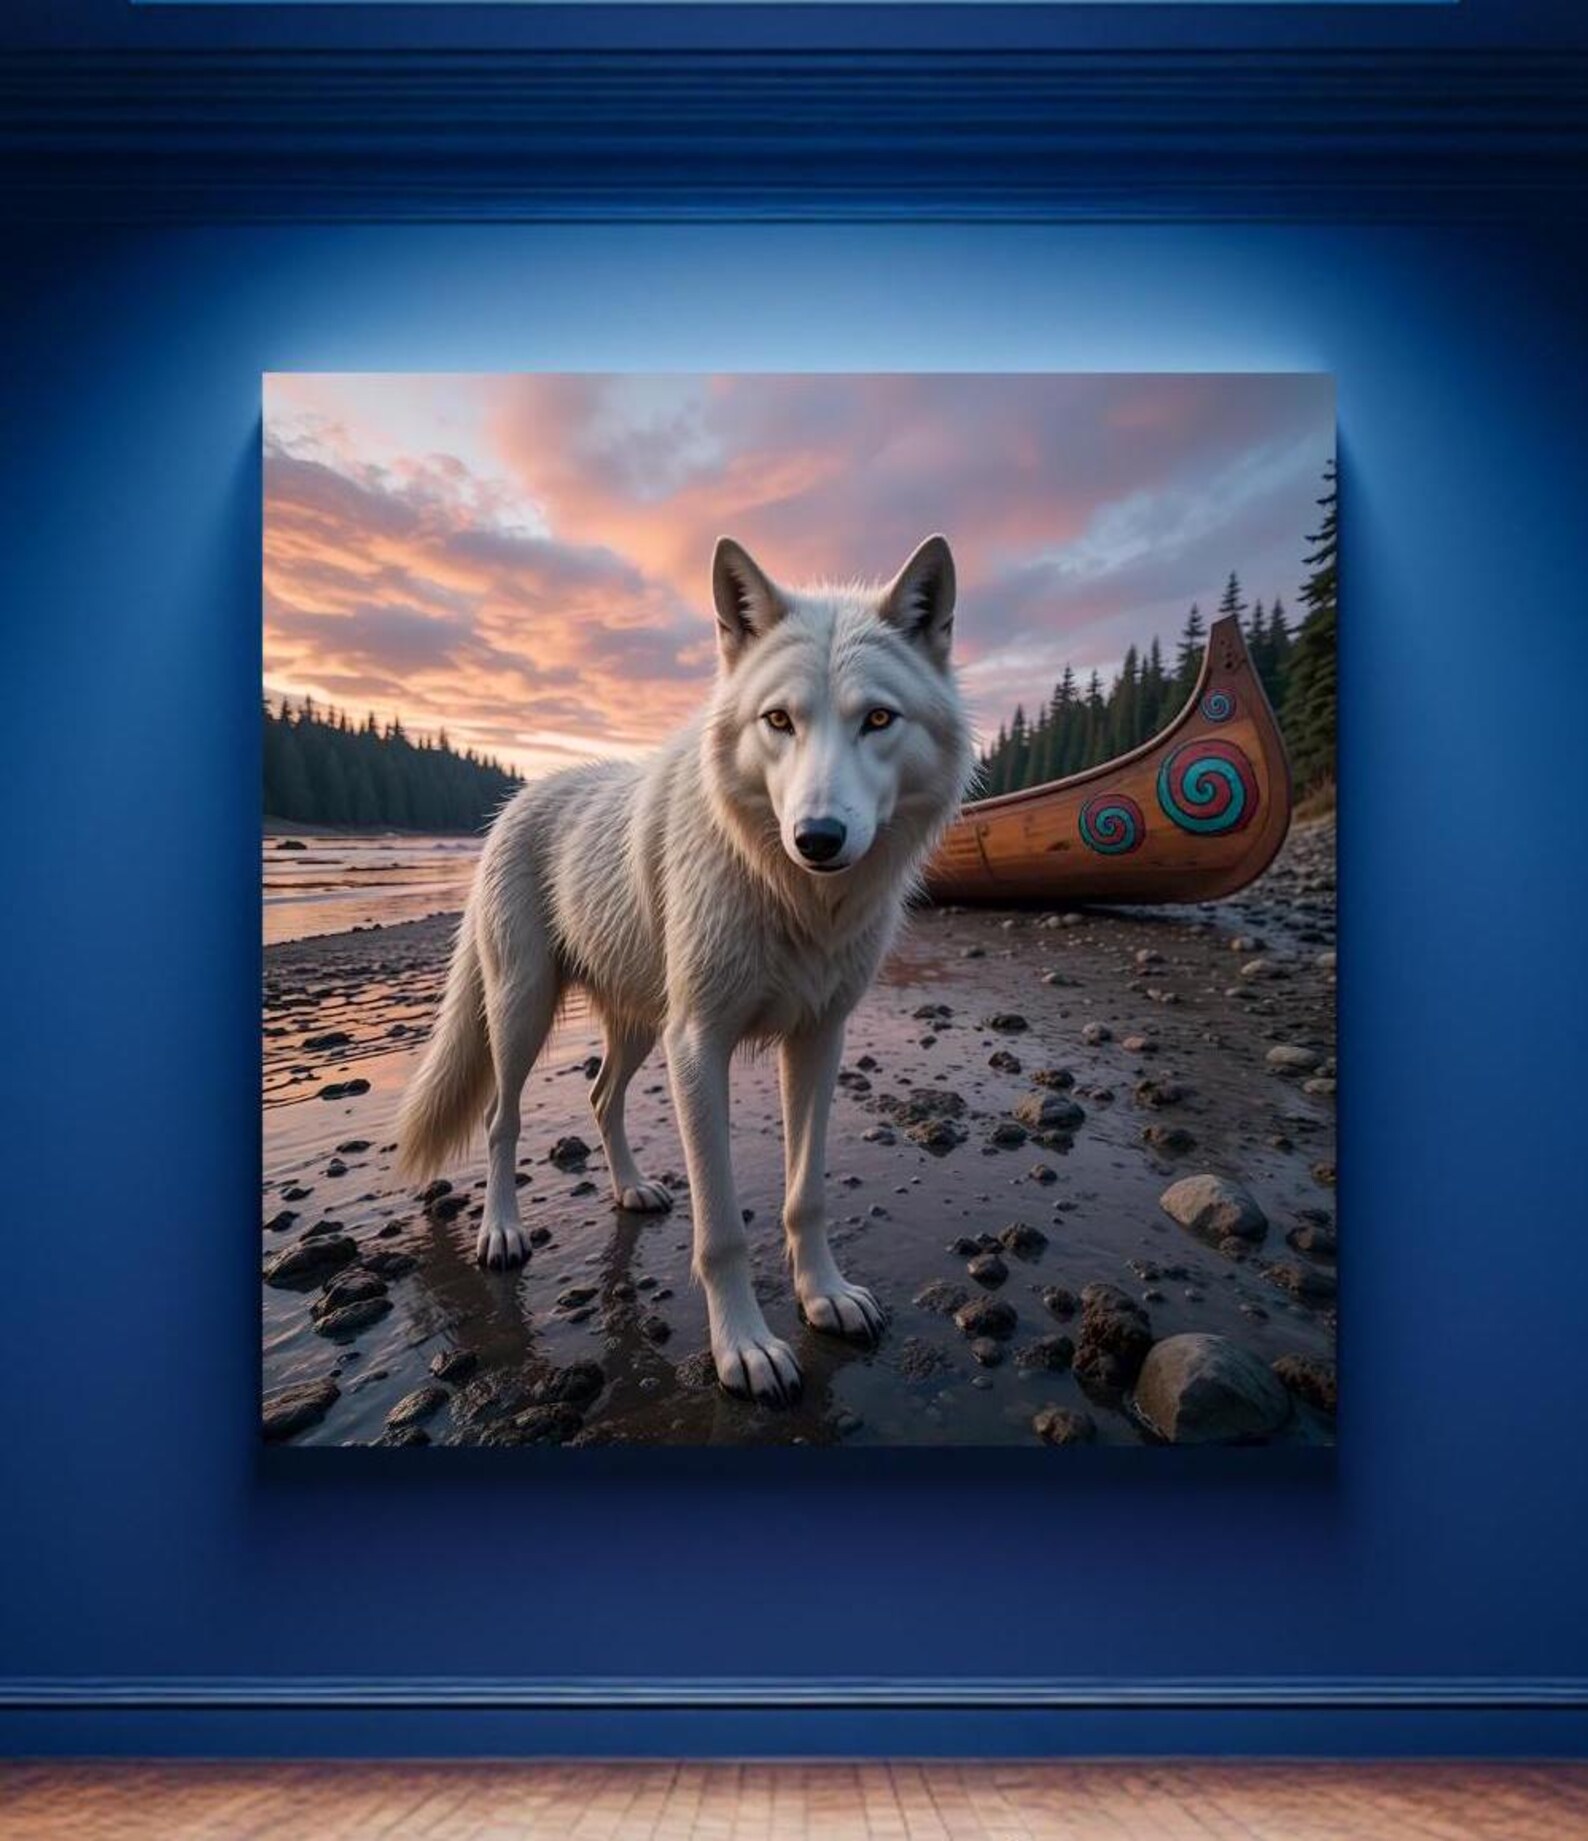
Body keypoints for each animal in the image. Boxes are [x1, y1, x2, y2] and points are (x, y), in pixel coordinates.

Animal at [396, 534, 973, 1404]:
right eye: (779, 721)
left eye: (878, 719)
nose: (818, 837)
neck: (791, 894)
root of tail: (513, 804)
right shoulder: (701, 1046)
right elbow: (723, 1230)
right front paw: (746, 1348)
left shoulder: (819, 1040)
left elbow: (806, 1195)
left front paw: (824, 1296)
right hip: (524, 1013)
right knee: (502, 1118)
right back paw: (501, 1230)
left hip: (641, 1028)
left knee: (600, 1097)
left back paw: (631, 1188)